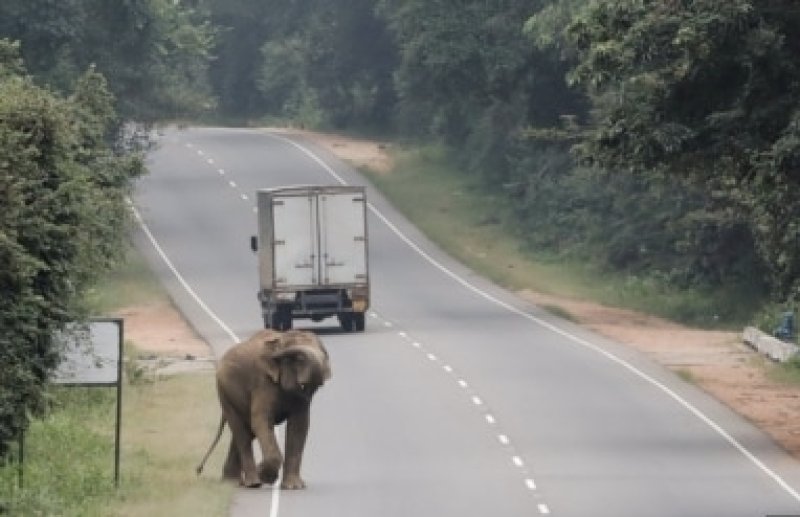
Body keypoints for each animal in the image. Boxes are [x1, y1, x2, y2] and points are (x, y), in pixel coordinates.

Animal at [196, 329, 331, 489]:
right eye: (299, 359)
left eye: (325, 355)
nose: (198, 469)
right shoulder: (262, 383)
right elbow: (261, 420)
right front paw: (266, 476)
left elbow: (299, 426)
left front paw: (293, 486)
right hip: (224, 392)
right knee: (242, 432)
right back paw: (252, 483)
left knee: (246, 432)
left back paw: (232, 481)